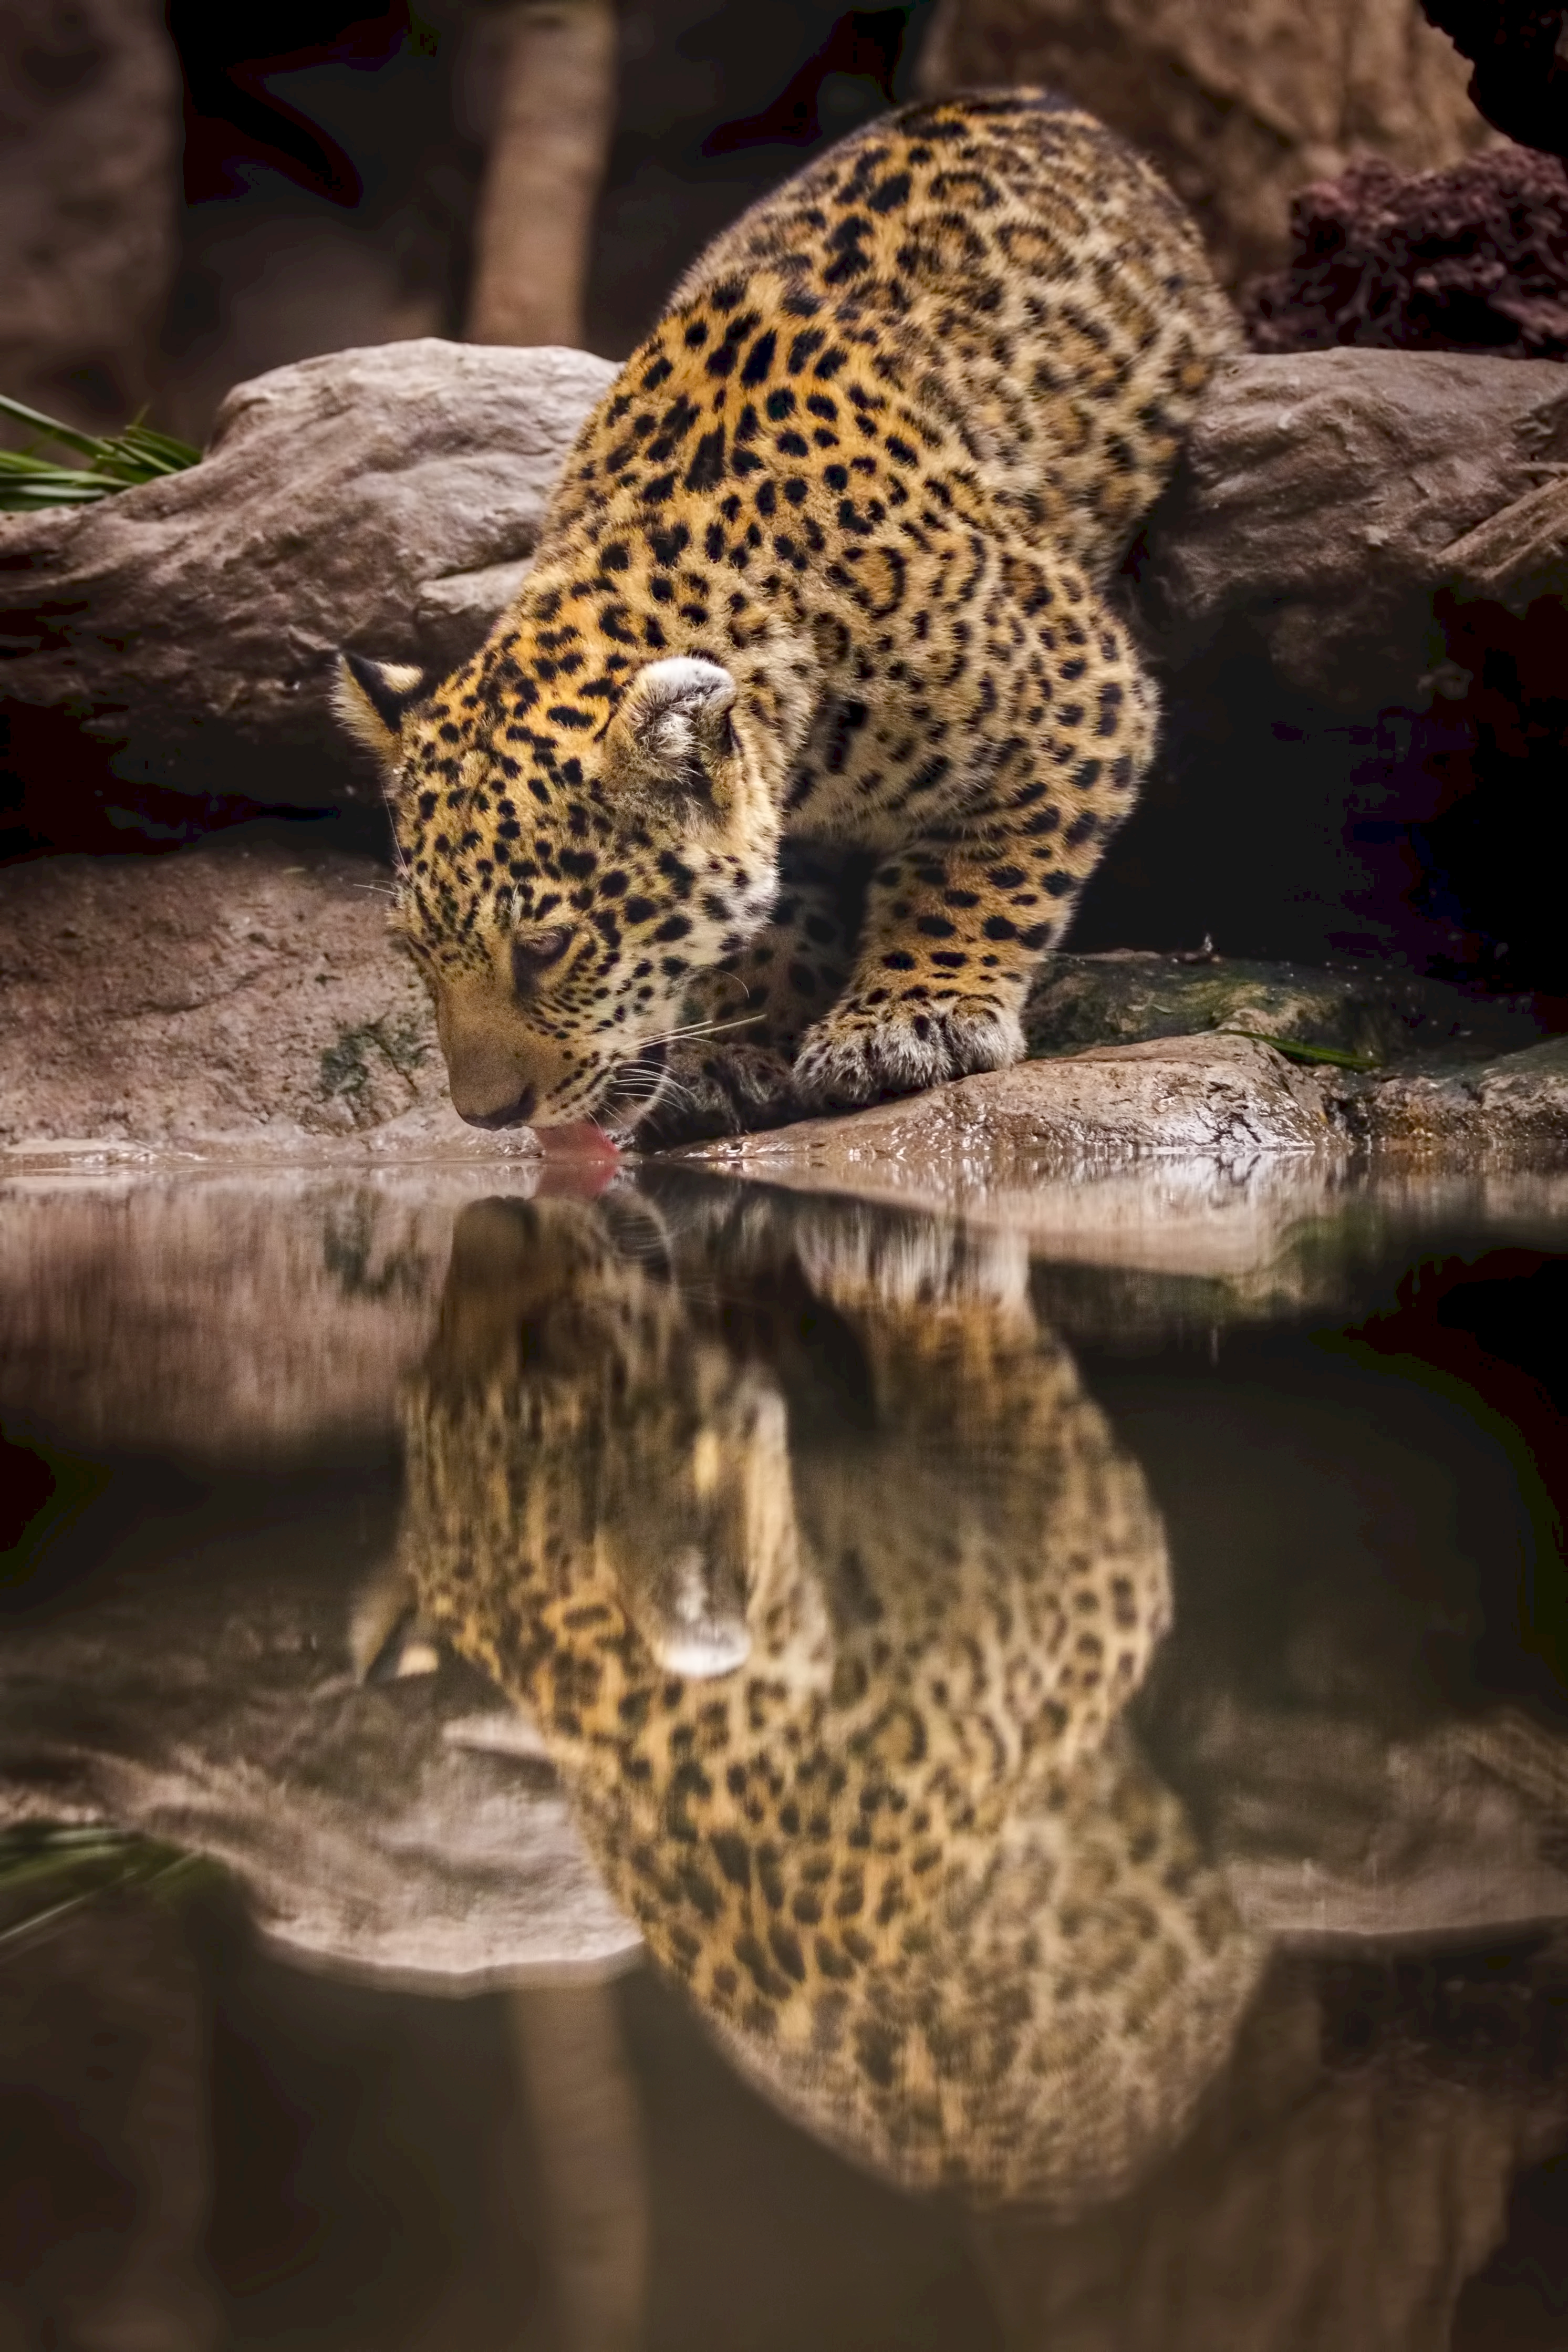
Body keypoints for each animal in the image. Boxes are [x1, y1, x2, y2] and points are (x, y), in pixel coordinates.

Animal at [335, 90, 1237, 1146]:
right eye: (414, 951)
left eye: (547, 945)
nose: (487, 1118)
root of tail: (1029, 98)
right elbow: (769, 910)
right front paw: (743, 1041)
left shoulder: (1080, 684)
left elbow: (982, 868)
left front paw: (912, 1015)